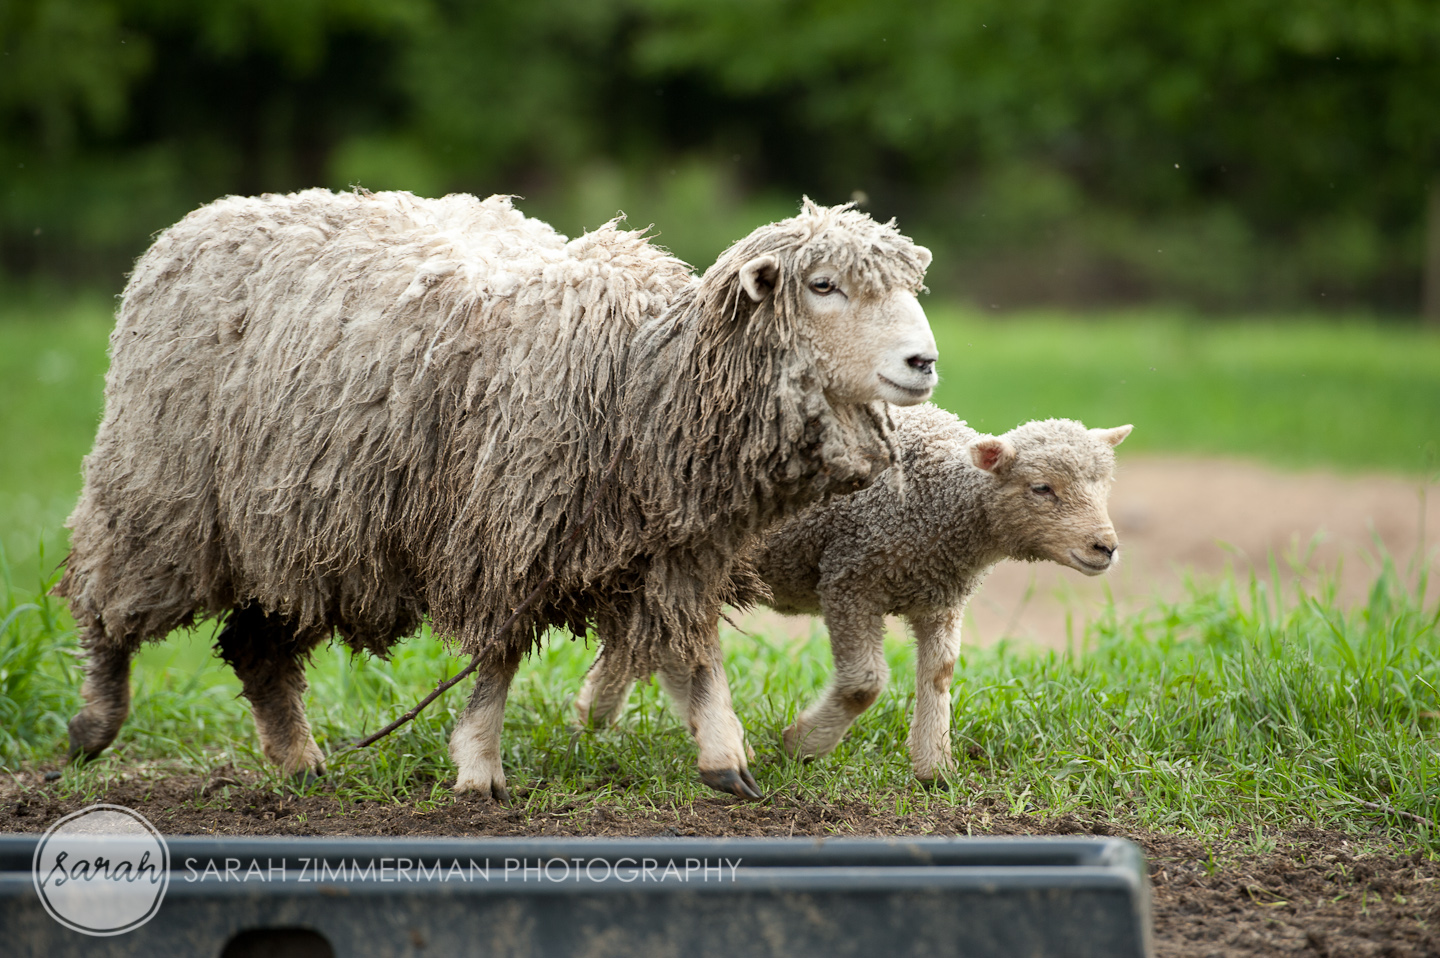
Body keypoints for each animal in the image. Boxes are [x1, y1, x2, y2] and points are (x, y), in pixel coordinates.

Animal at [55, 188, 939, 800]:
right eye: (822, 285)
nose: (924, 362)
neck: (642, 383)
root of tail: (201, 220)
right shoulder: (506, 530)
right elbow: (501, 660)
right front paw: (478, 764)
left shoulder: (678, 556)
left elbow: (695, 659)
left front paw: (725, 758)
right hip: (160, 494)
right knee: (106, 606)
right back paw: (95, 723)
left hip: (296, 529)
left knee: (256, 648)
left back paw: (300, 763)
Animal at [575, 405, 1131, 780]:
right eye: (1041, 488)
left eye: (1105, 486)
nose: (1105, 546)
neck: (944, 502)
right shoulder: (851, 579)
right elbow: (864, 684)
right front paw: (803, 744)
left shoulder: (941, 597)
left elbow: (940, 674)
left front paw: (934, 766)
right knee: (675, 643)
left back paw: (596, 712)